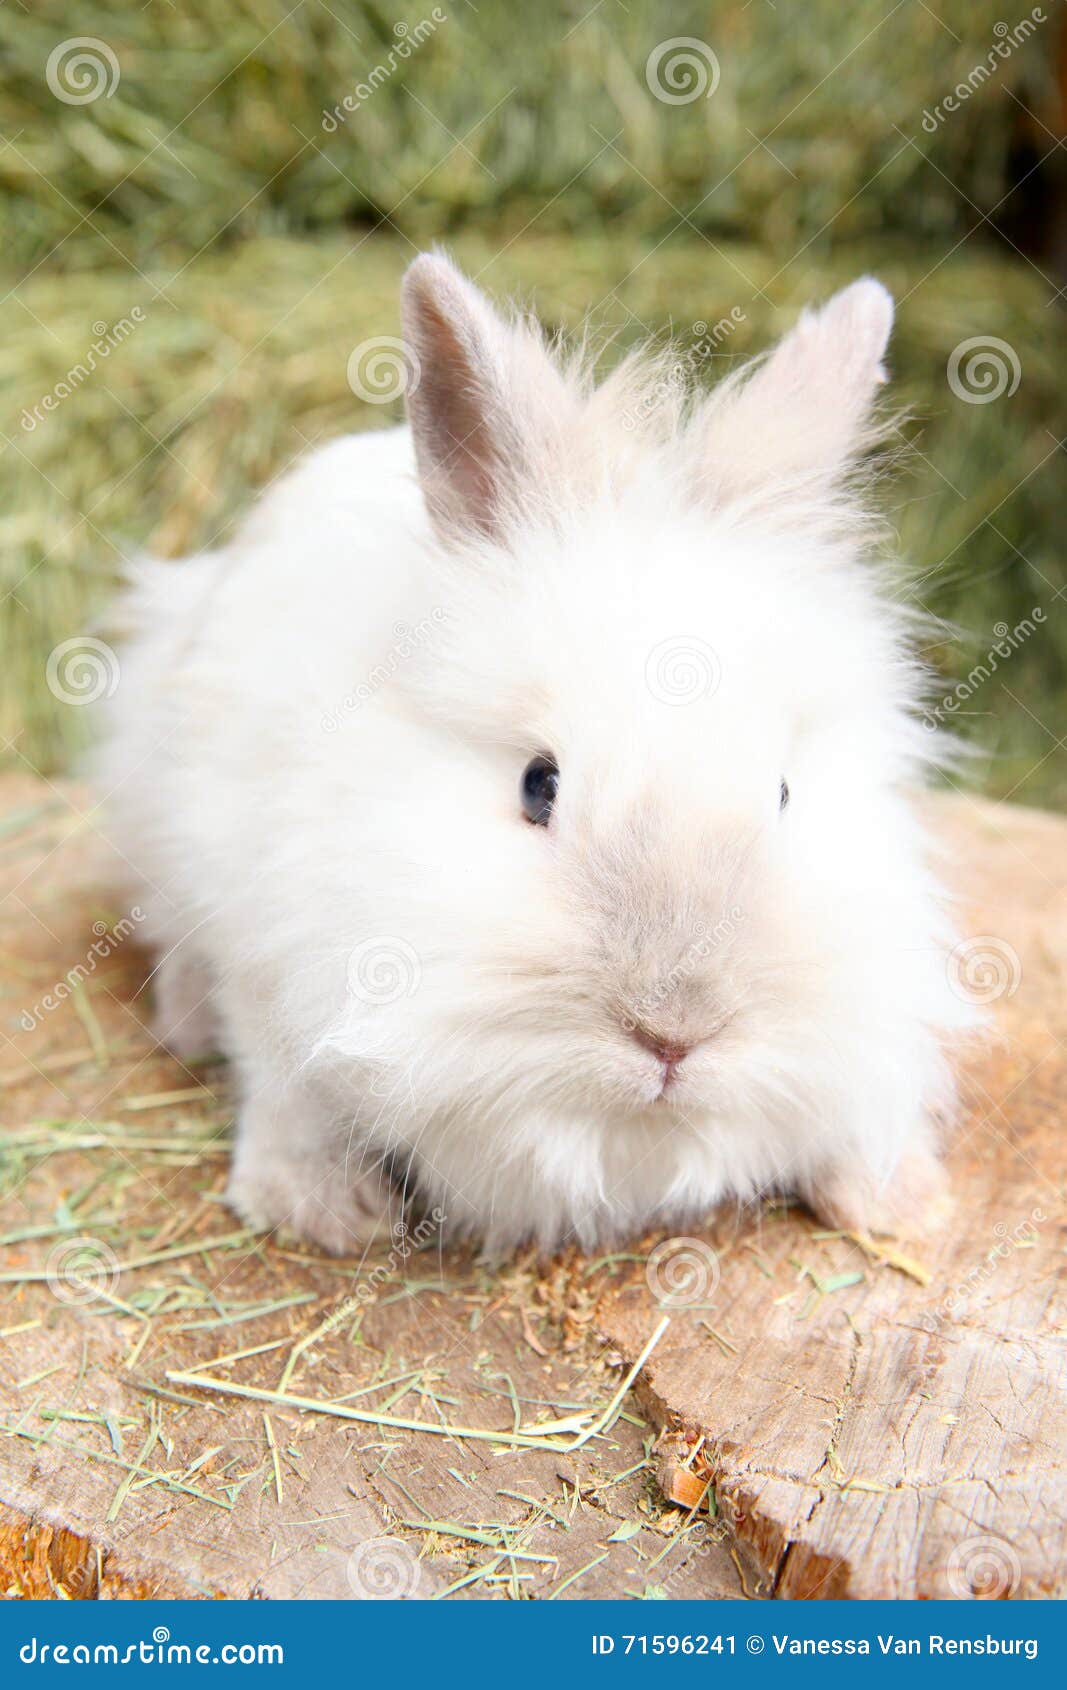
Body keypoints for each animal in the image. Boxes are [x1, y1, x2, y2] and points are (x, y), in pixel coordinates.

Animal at [95, 252, 978, 1257]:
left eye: (785, 793)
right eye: (538, 785)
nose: (674, 1034)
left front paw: (905, 1205)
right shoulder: (262, 930)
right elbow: (284, 1085)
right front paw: (323, 1210)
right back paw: (188, 1029)